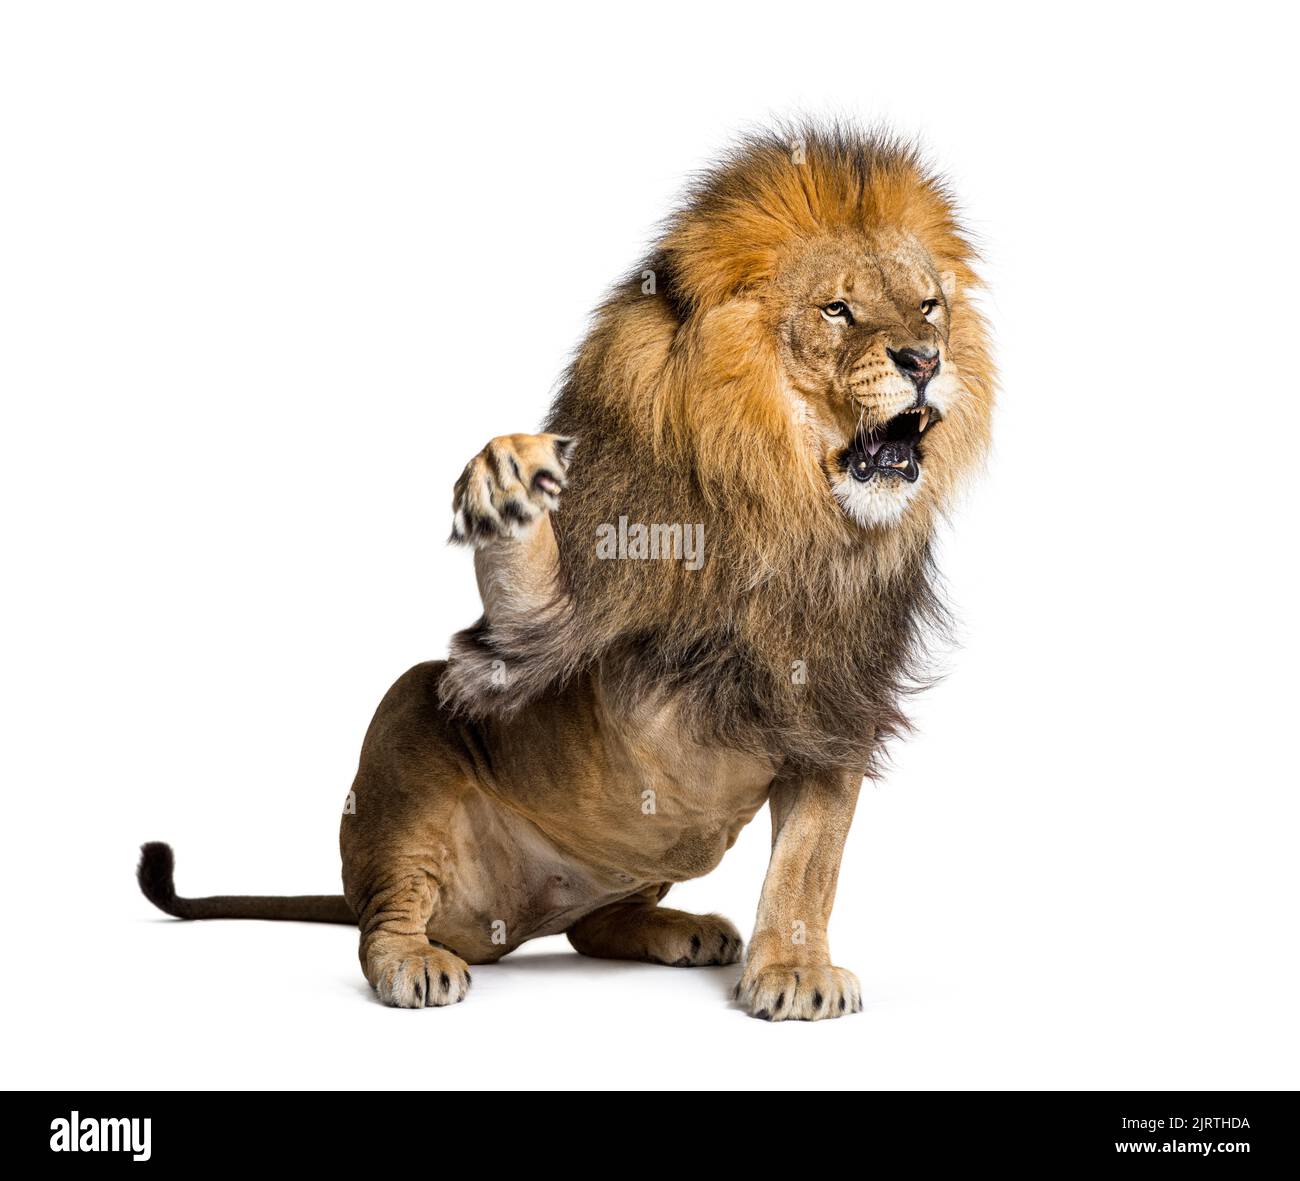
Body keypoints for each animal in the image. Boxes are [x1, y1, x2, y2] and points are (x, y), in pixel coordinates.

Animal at [138, 124, 995, 1020]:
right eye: (837, 309)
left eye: (927, 306)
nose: (925, 359)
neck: (793, 512)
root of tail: (516, 921)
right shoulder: (560, 639)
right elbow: (531, 601)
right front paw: (505, 476)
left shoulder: (834, 702)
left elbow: (809, 861)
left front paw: (793, 966)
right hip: (407, 722)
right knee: (386, 911)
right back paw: (414, 959)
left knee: (593, 925)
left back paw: (682, 928)